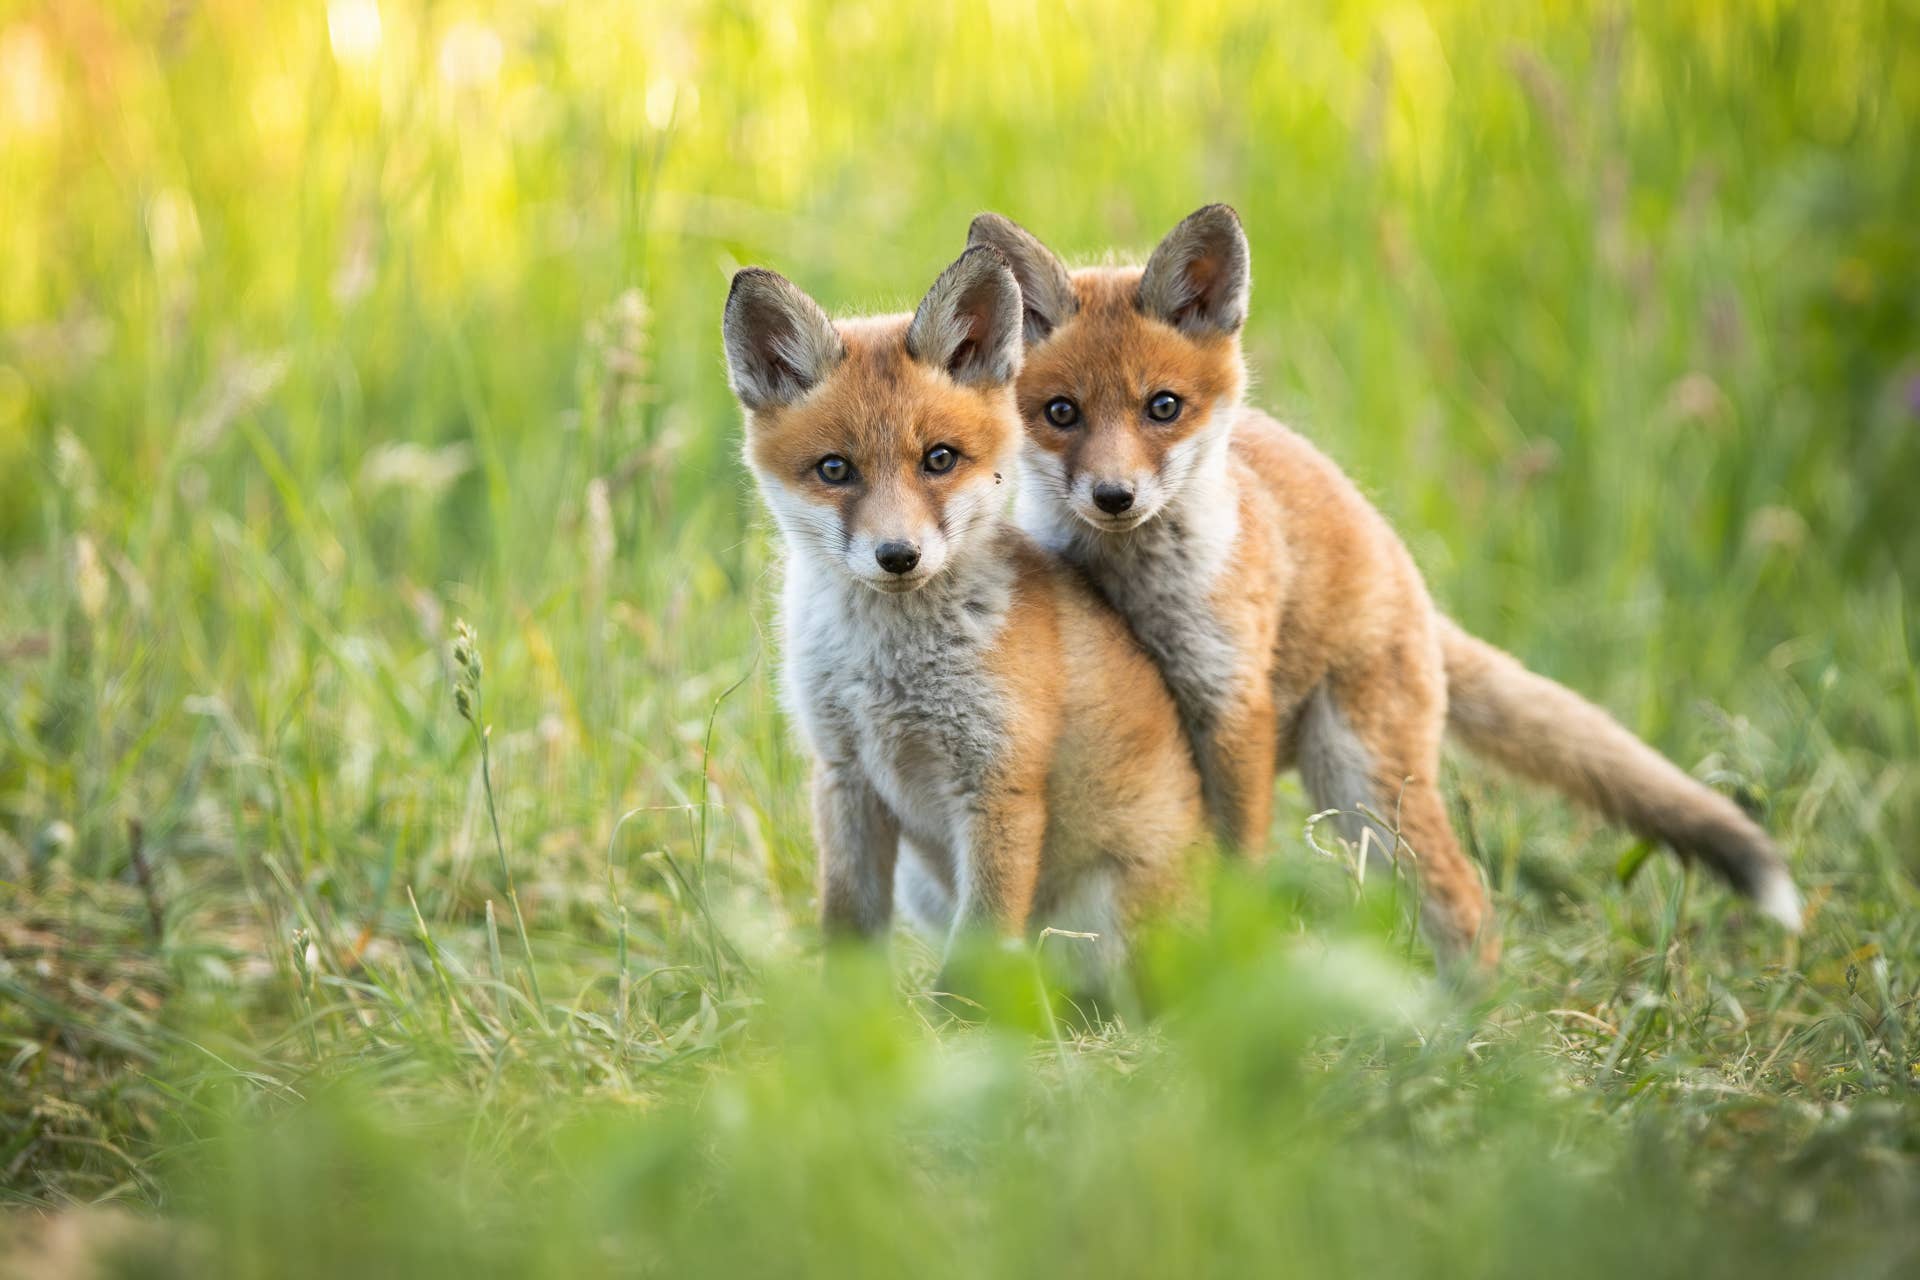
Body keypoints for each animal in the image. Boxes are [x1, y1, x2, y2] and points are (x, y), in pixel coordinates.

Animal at [722, 244, 1208, 1001]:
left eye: (939, 459)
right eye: (835, 469)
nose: (898, 556)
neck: (886, 672)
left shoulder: (998, 784)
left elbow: (978, 950)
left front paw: (962, 1026)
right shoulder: (843, 774)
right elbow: (846, 924)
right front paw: (843, 1019)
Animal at [967, 203, 1804, 966]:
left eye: (1162, 407)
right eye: (1062, 413)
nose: (1114, 497)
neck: (1136, 587)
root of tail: (1406, 575)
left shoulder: (1230, 701)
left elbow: (1235, 857)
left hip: (1361, 779)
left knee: (1465, 902)